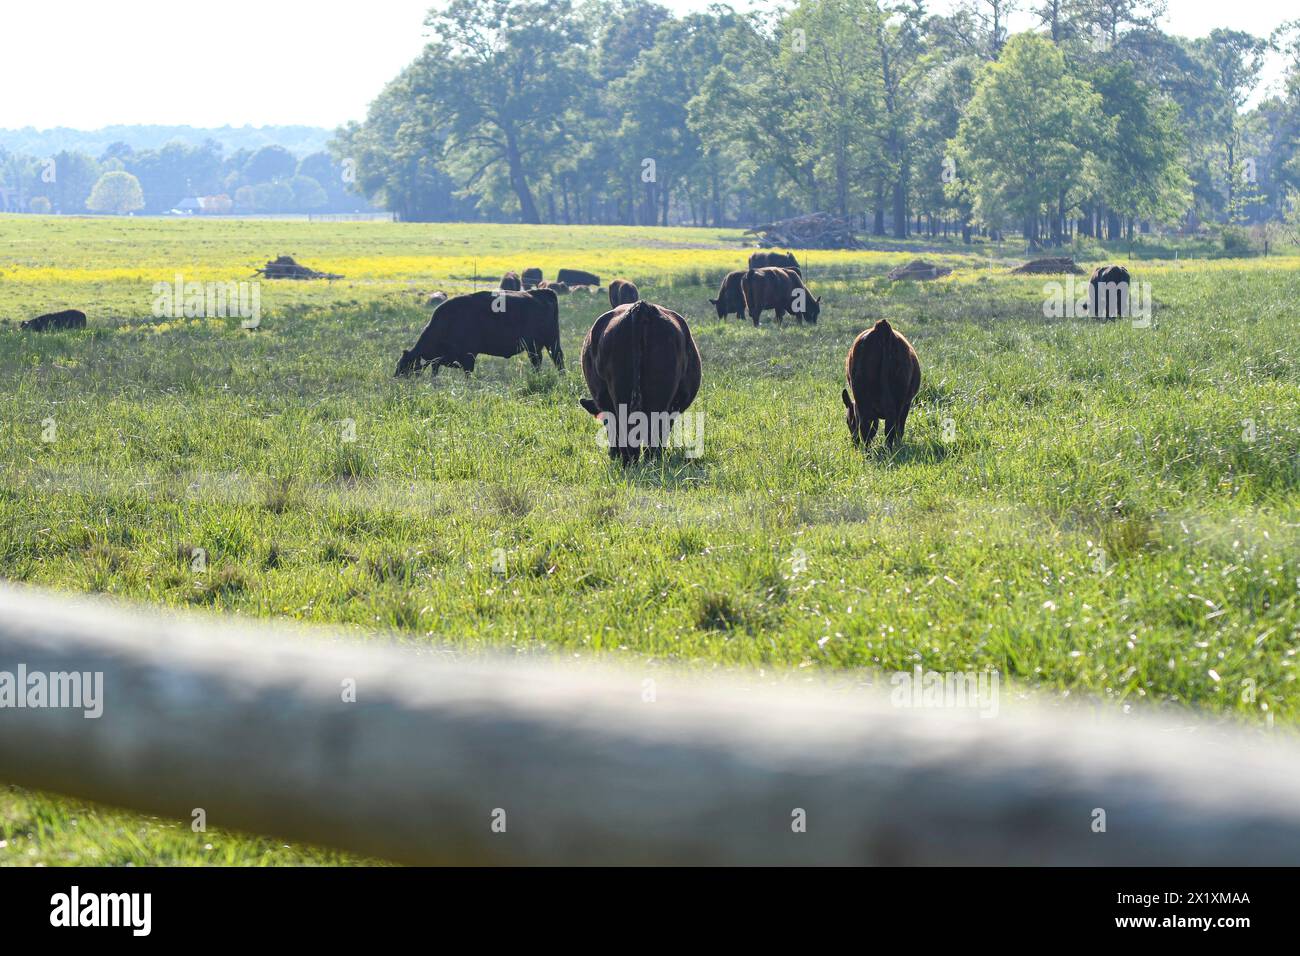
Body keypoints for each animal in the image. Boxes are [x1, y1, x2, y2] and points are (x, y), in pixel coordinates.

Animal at [395, 288, 562, 378]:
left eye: (405, 367)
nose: (396, 378)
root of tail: (540, 293)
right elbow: (435, 369)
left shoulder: (469, 356)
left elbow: (468, 373)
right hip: (537, 347)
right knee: (541, 361)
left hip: (548, 343)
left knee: (555, 359)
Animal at [841, 319, 921, 450]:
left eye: (848, 421)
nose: (854, 443)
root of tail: (882, 327)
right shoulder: (906, 403)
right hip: (895, 400)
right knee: (888, 428)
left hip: (865, 399)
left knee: (870, 428)